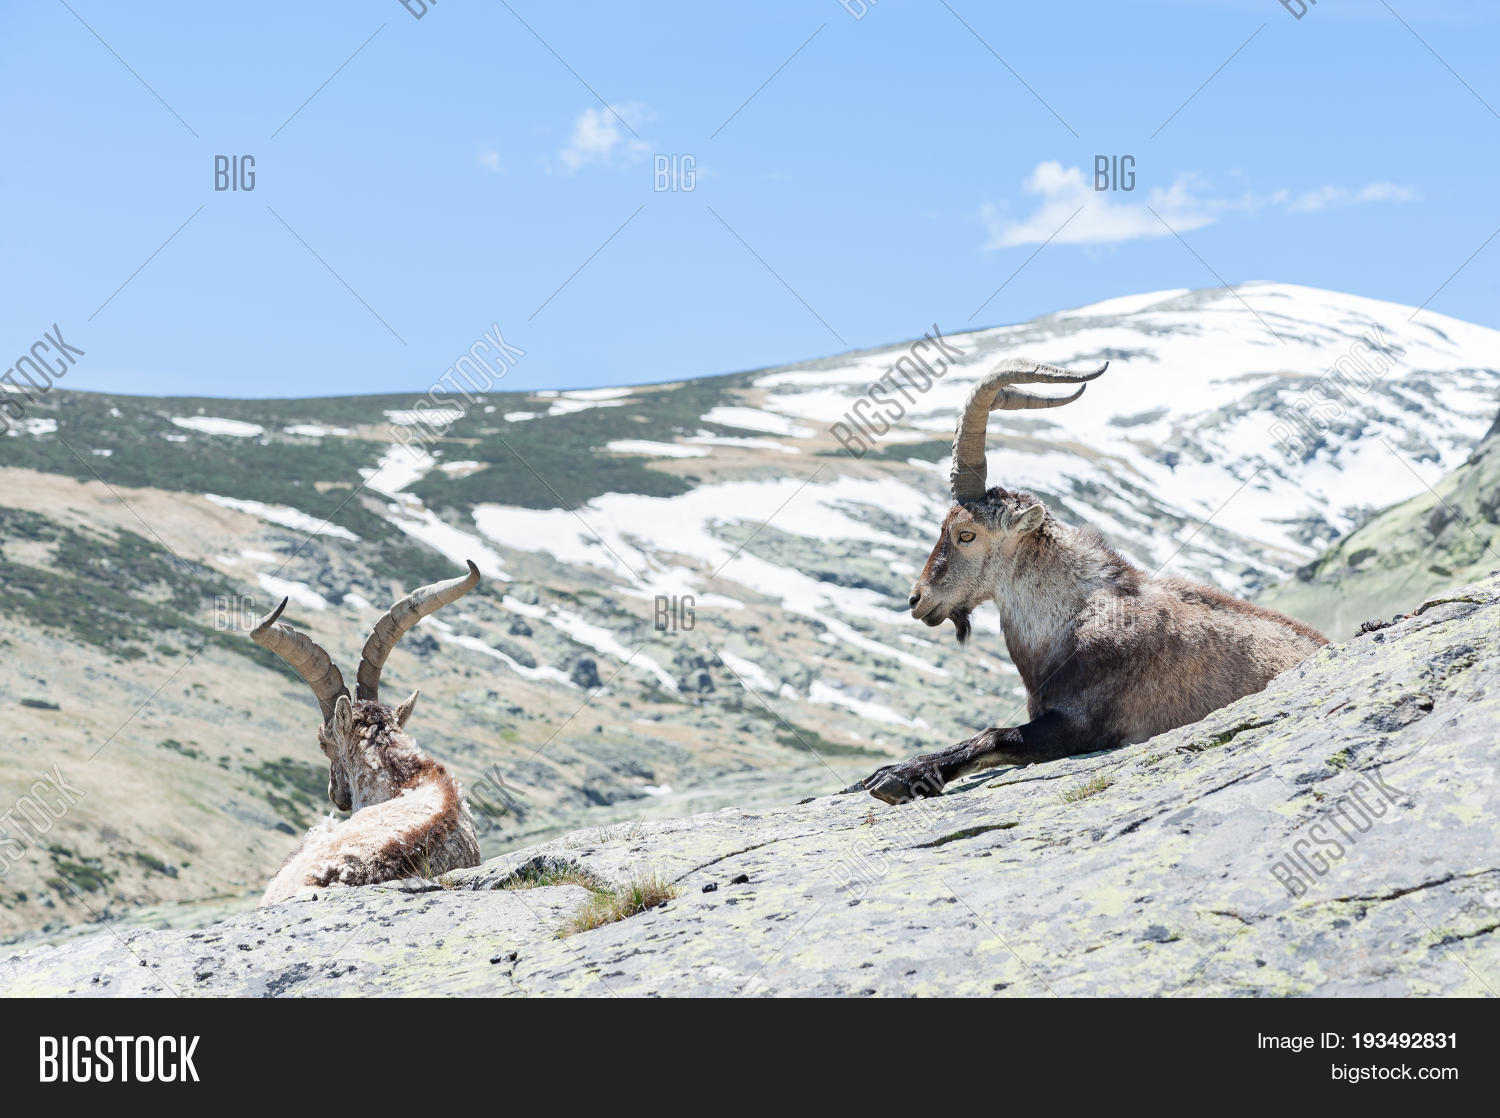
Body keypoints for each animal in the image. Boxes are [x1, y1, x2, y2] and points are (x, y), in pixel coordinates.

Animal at [853, 358, 1328, 804]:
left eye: (965, 534)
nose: (916, 598)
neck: (1070, 617)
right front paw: (875, 773)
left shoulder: (1084, 725)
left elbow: (994, 735)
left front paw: (899, 776)